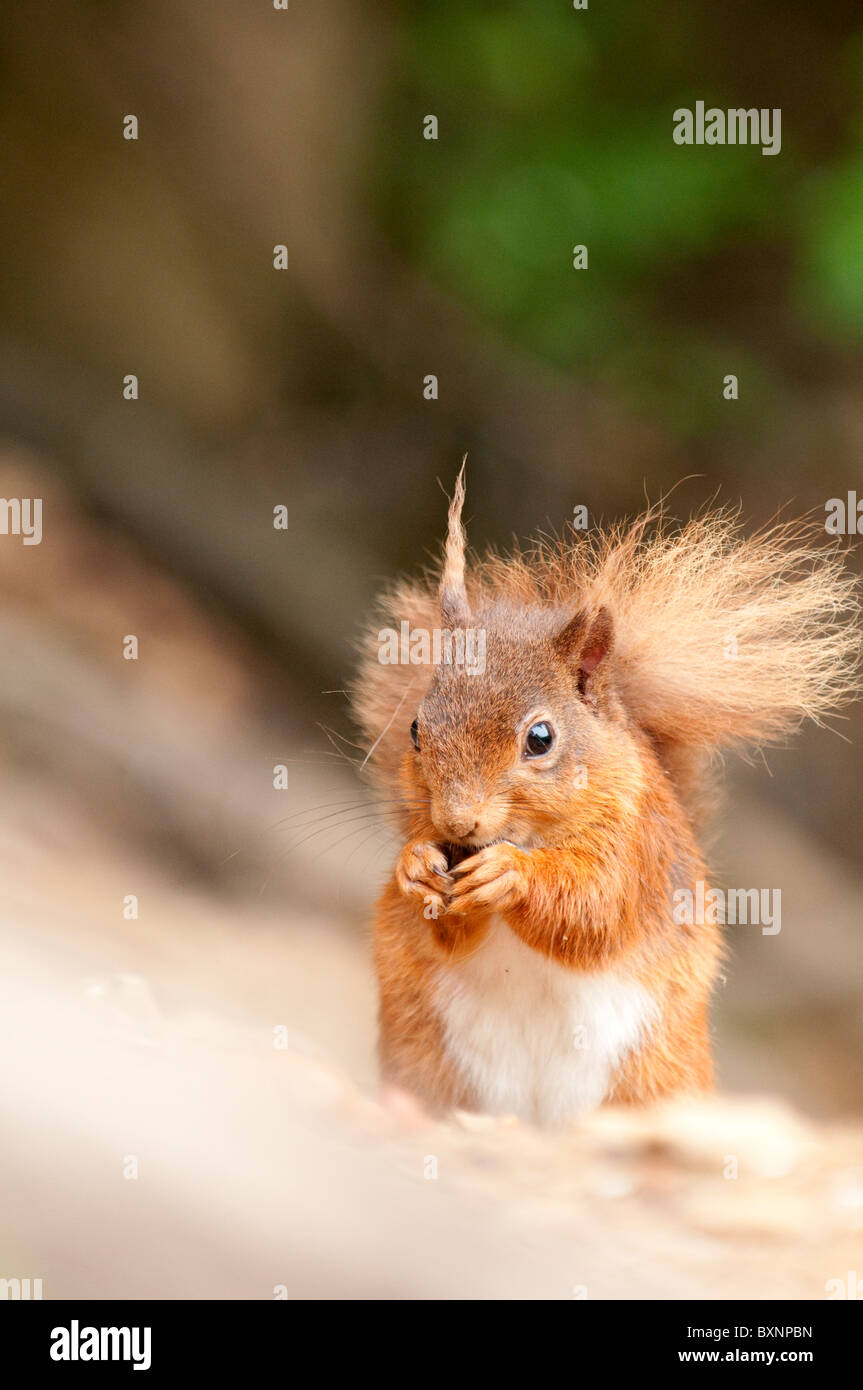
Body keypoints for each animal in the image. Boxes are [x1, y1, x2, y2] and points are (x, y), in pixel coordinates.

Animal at [352, 469, 860, 1126]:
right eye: (415, 729)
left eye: (540, 739)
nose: (457, 823)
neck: (531, 834)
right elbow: (447, 928)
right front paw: (414, 866)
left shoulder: (635, 844)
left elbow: (596, 910)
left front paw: (512, 875)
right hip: (424, 1053)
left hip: (653, 1074)